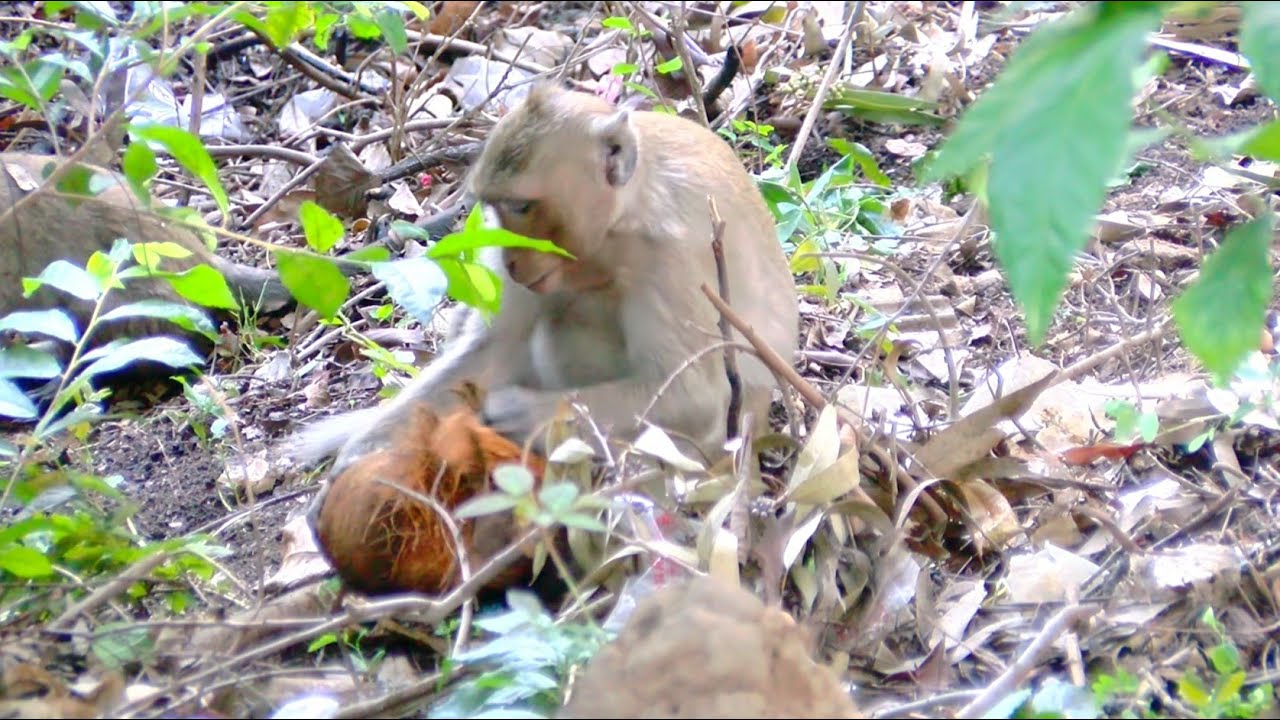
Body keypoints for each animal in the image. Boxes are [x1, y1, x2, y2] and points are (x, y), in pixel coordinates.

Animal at [291, 83, 799, 470]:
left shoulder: (676, 261)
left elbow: (694, 396)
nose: (512, 260)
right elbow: (488, 347)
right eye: (494, 209)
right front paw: (362, 456)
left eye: (521, 206)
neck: (623, 220)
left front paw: (522, 413)